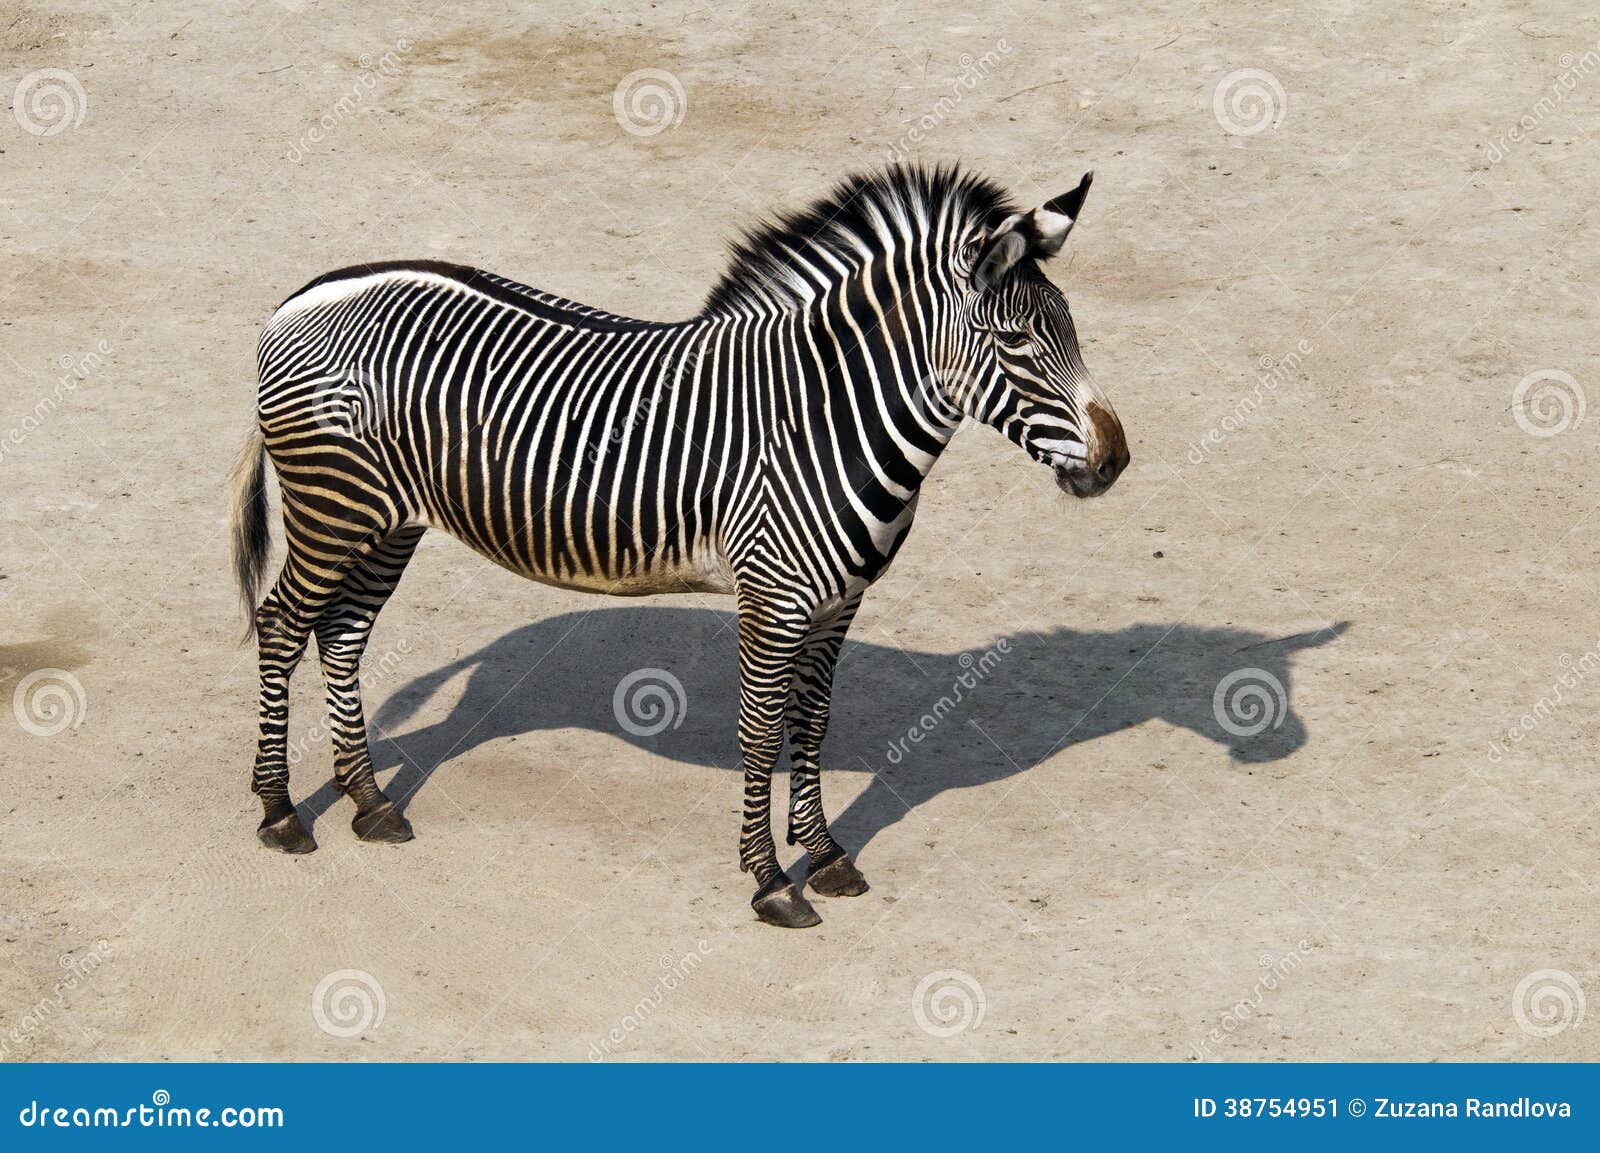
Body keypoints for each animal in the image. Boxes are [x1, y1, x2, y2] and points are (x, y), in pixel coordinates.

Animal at [230, 164, 1129, 928]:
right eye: (1018, 344)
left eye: (1073, 332)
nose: (1114, 460)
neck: (829, 417)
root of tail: (303, 297)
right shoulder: (774, 596)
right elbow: (761, 731)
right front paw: (770, 880)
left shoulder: (839, 600)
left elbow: (813, 723)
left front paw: (825, 853)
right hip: (332, 506)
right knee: (282, 625)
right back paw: (279, 811)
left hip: (386, 519)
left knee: (343, 637)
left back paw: (370, 801)